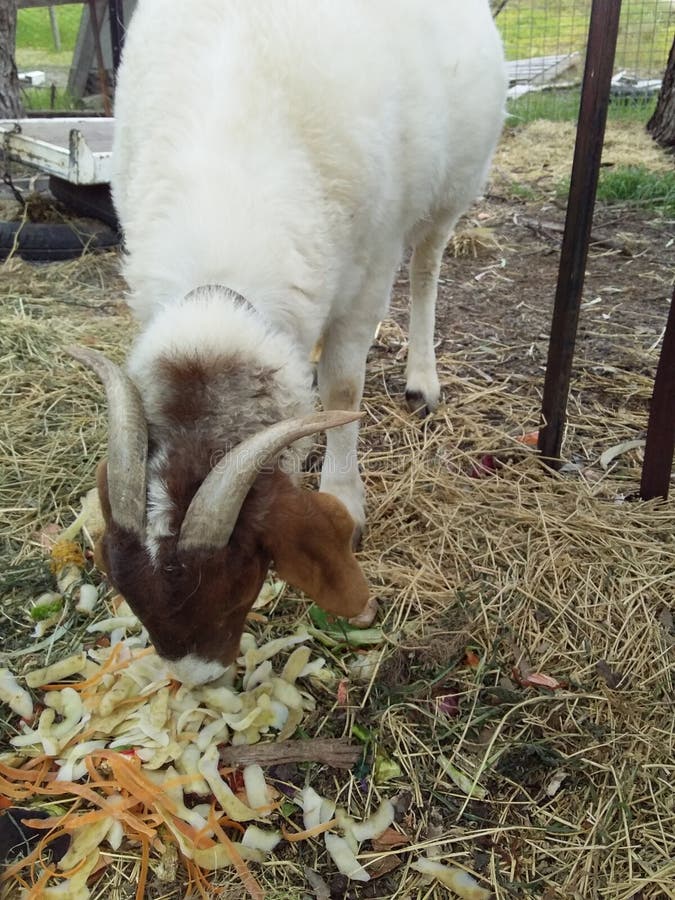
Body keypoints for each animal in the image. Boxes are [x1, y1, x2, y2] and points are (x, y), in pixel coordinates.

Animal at [71, 0, 507, 686]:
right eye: (129, 594)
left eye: (242, 582)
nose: (202, 680)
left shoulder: (368, 266)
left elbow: (344, 389)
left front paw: (345, 501)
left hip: (451, 188)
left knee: (429, 264)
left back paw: (422, 377)